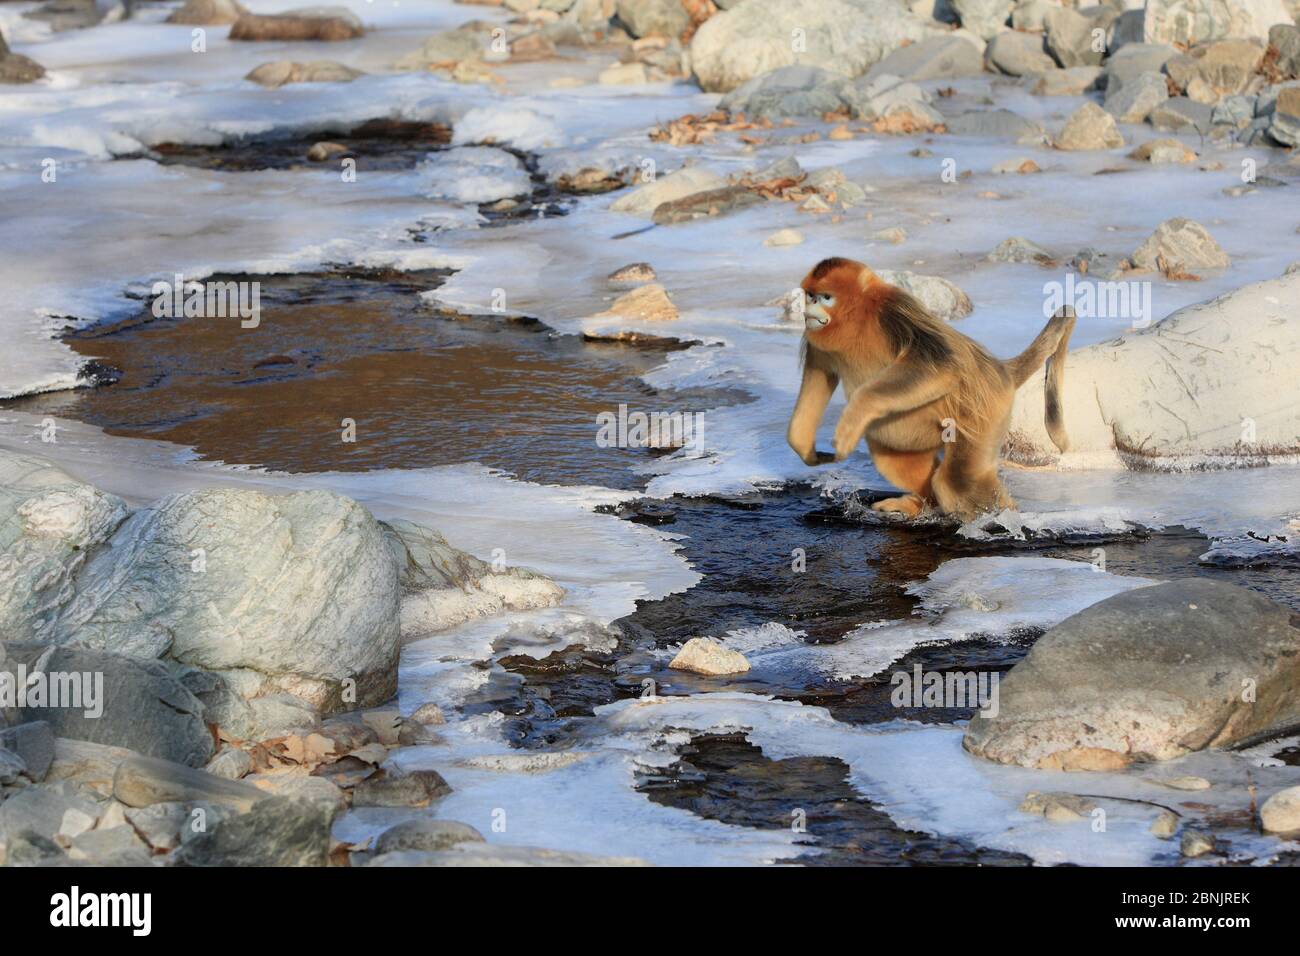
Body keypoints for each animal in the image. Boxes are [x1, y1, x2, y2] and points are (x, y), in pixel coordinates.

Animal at [786, 257, 1075, 520]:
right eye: (811, 296)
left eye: (826, 297)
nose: (810, 309)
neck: (859, 317)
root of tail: (1000, 369)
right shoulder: (818, 341)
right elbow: (818, 377)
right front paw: (804, 447)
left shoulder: (893, 312)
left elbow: (942, 366)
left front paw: (848, 426)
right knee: (897, 460)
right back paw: (919, 506)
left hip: (985, 410)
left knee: (955, 483)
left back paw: (1003, 520)